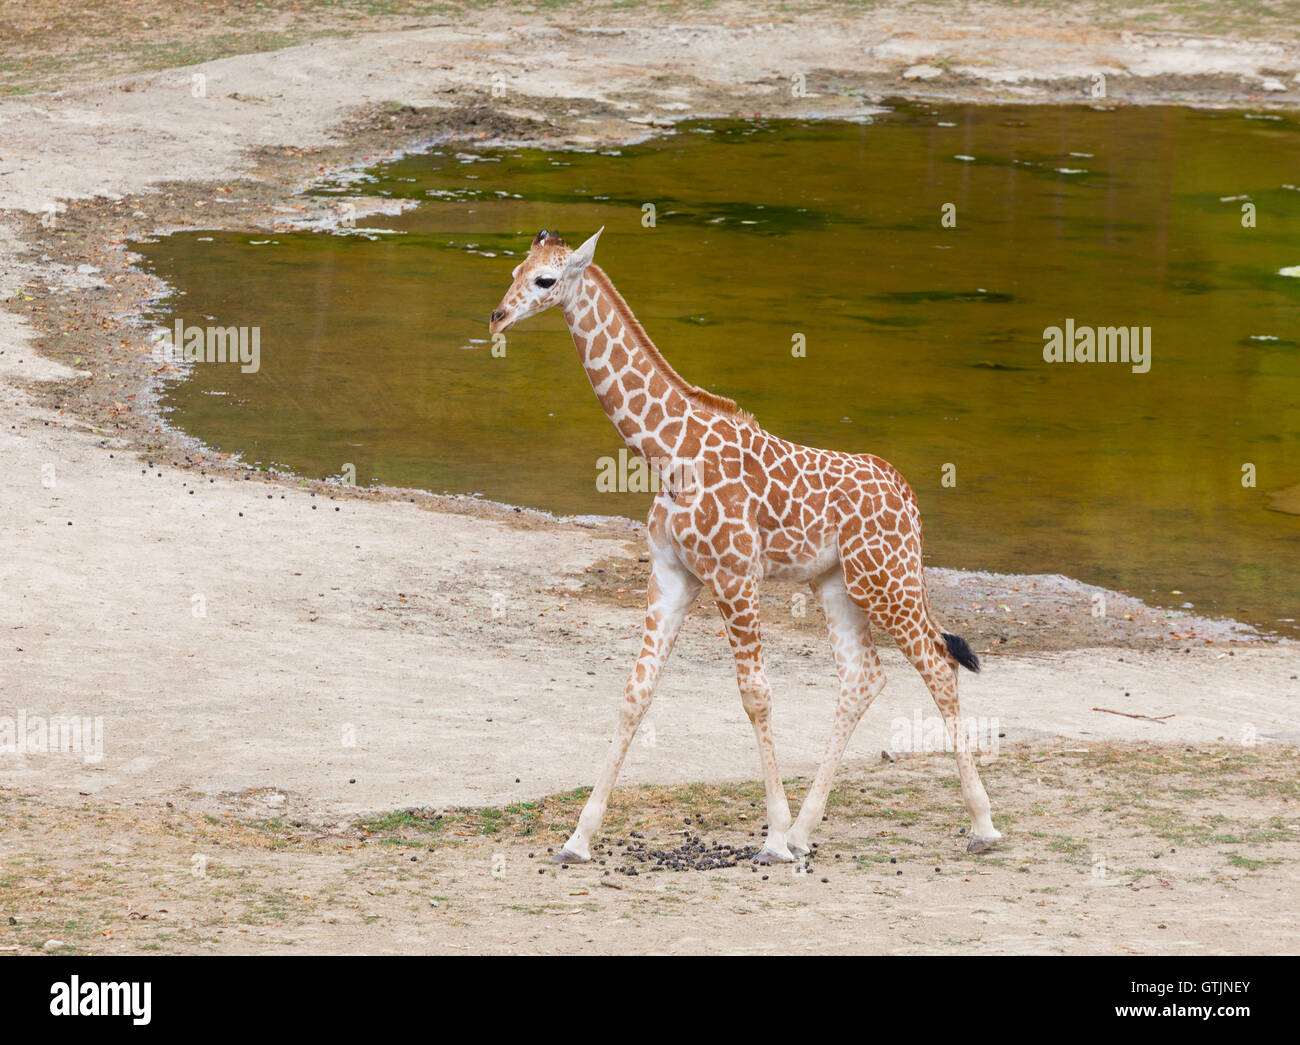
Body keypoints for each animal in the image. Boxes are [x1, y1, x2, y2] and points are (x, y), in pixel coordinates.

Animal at [489, 227, 1001, 864]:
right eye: (515, 269)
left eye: (546, 280)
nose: (497, 316)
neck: (668, 452)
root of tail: (908, 499)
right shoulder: (672, 574)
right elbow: (635, 693)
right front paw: (578, 839)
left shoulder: (735, 574)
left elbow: (755, 694)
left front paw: (774, 837)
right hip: (838, 584)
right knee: (864, 676)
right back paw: (809, 831)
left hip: (888, 580)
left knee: (938, 665)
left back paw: (982, 826)